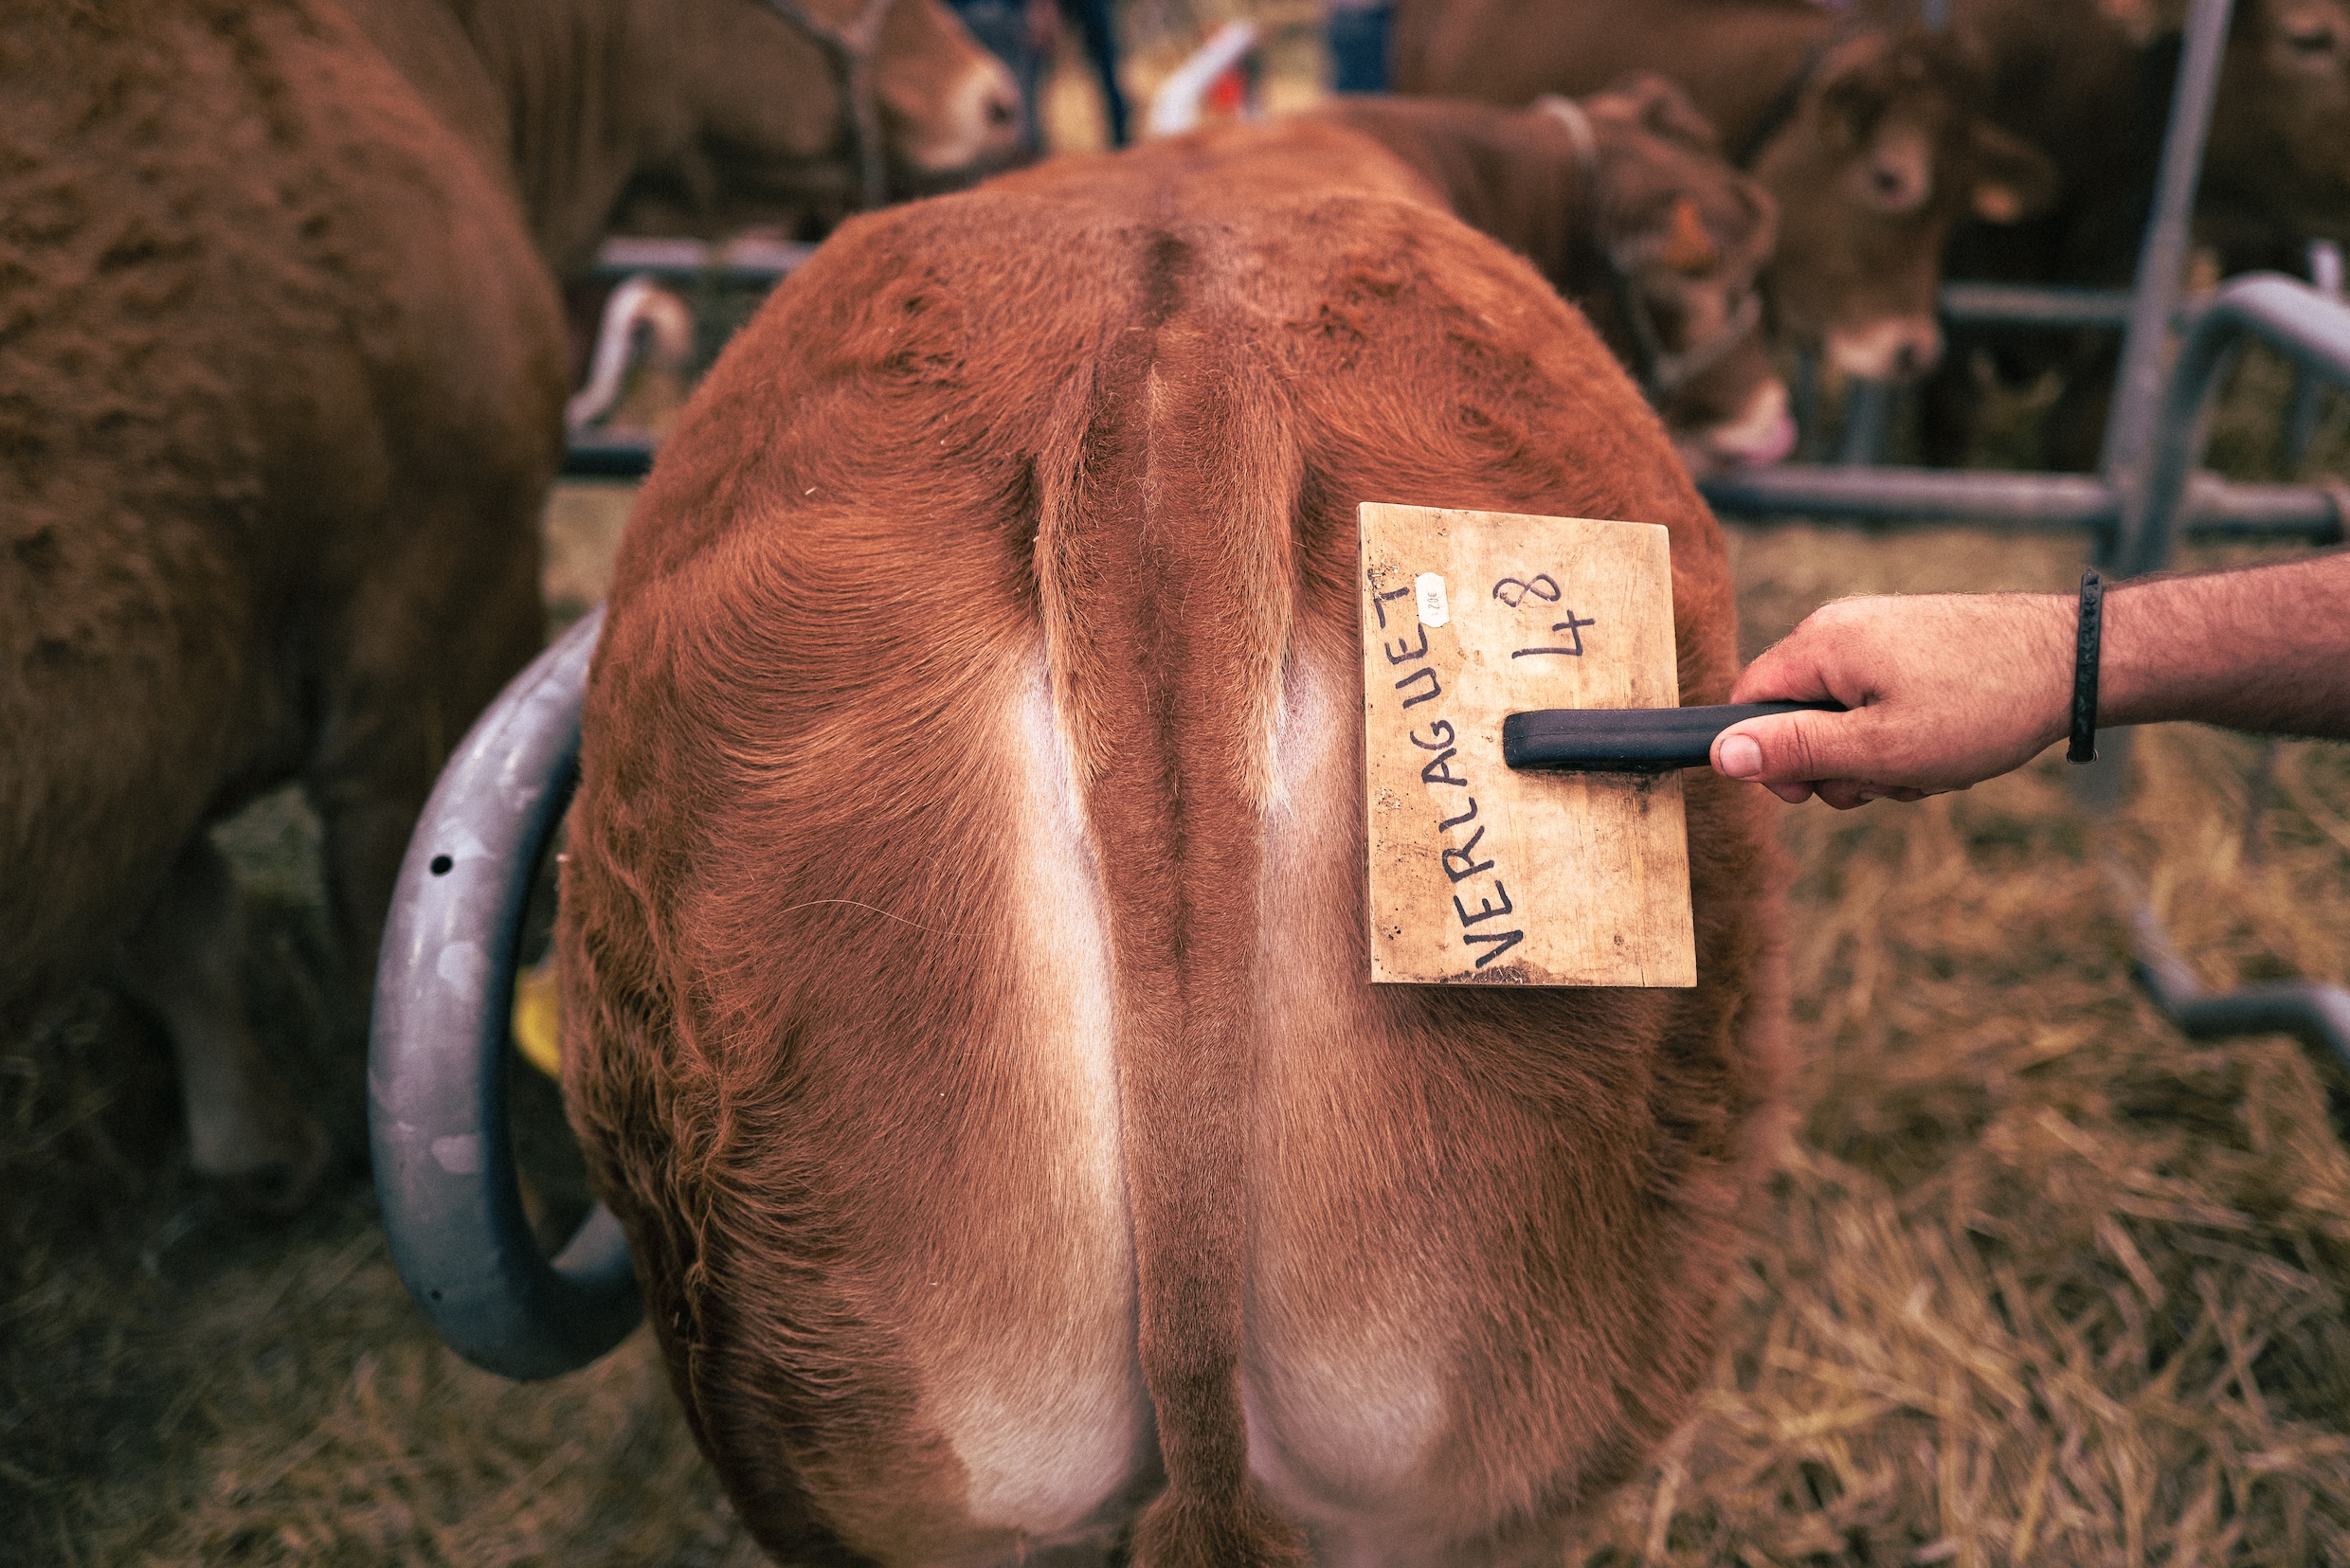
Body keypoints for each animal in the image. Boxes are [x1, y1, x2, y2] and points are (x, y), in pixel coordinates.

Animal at [0, 0, 1017, 1214]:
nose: (994, 97)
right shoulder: (438, 612)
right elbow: (375, 938)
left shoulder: (156, 725)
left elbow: (181, 920)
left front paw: (255, 1146)